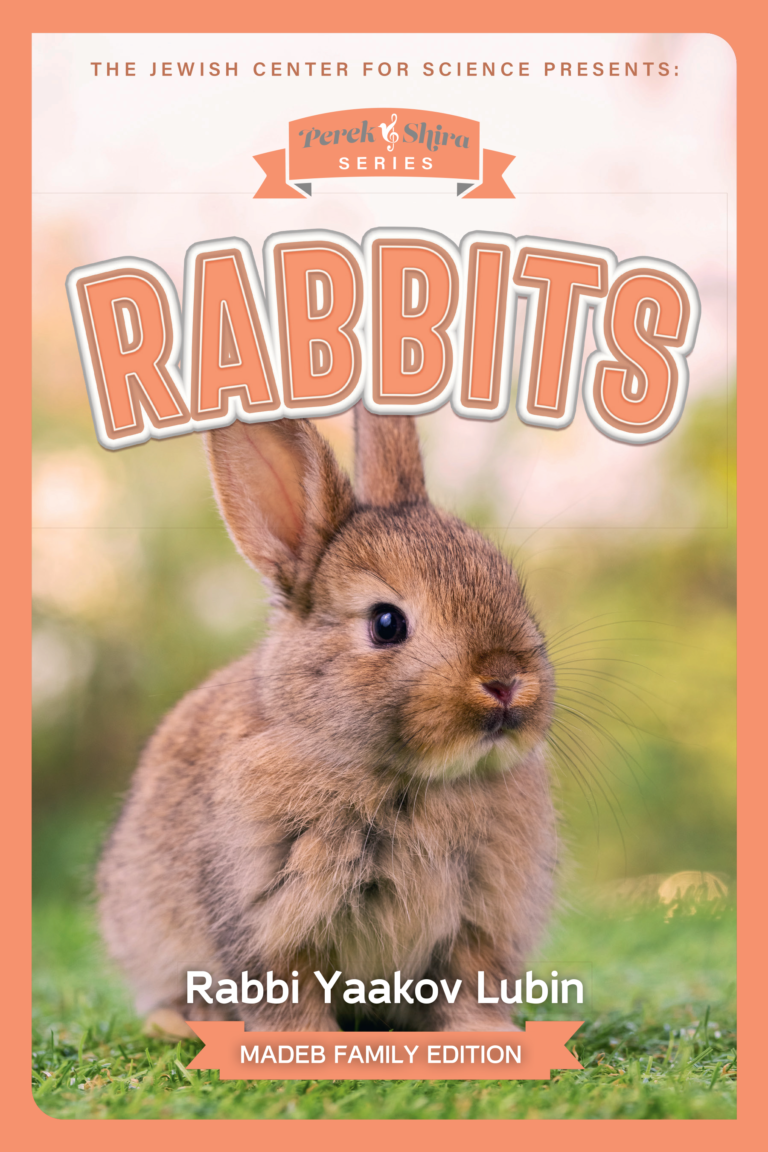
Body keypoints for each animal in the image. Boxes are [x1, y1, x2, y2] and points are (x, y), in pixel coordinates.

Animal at [97, 406, 557, 1036]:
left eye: (512, 586)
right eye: (386, 623)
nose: (507, 681)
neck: (407, 778)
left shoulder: (483, 923)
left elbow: (471, 983)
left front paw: (487, 1038)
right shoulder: (266, 916)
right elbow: (287, 992)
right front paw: (309, 1043)